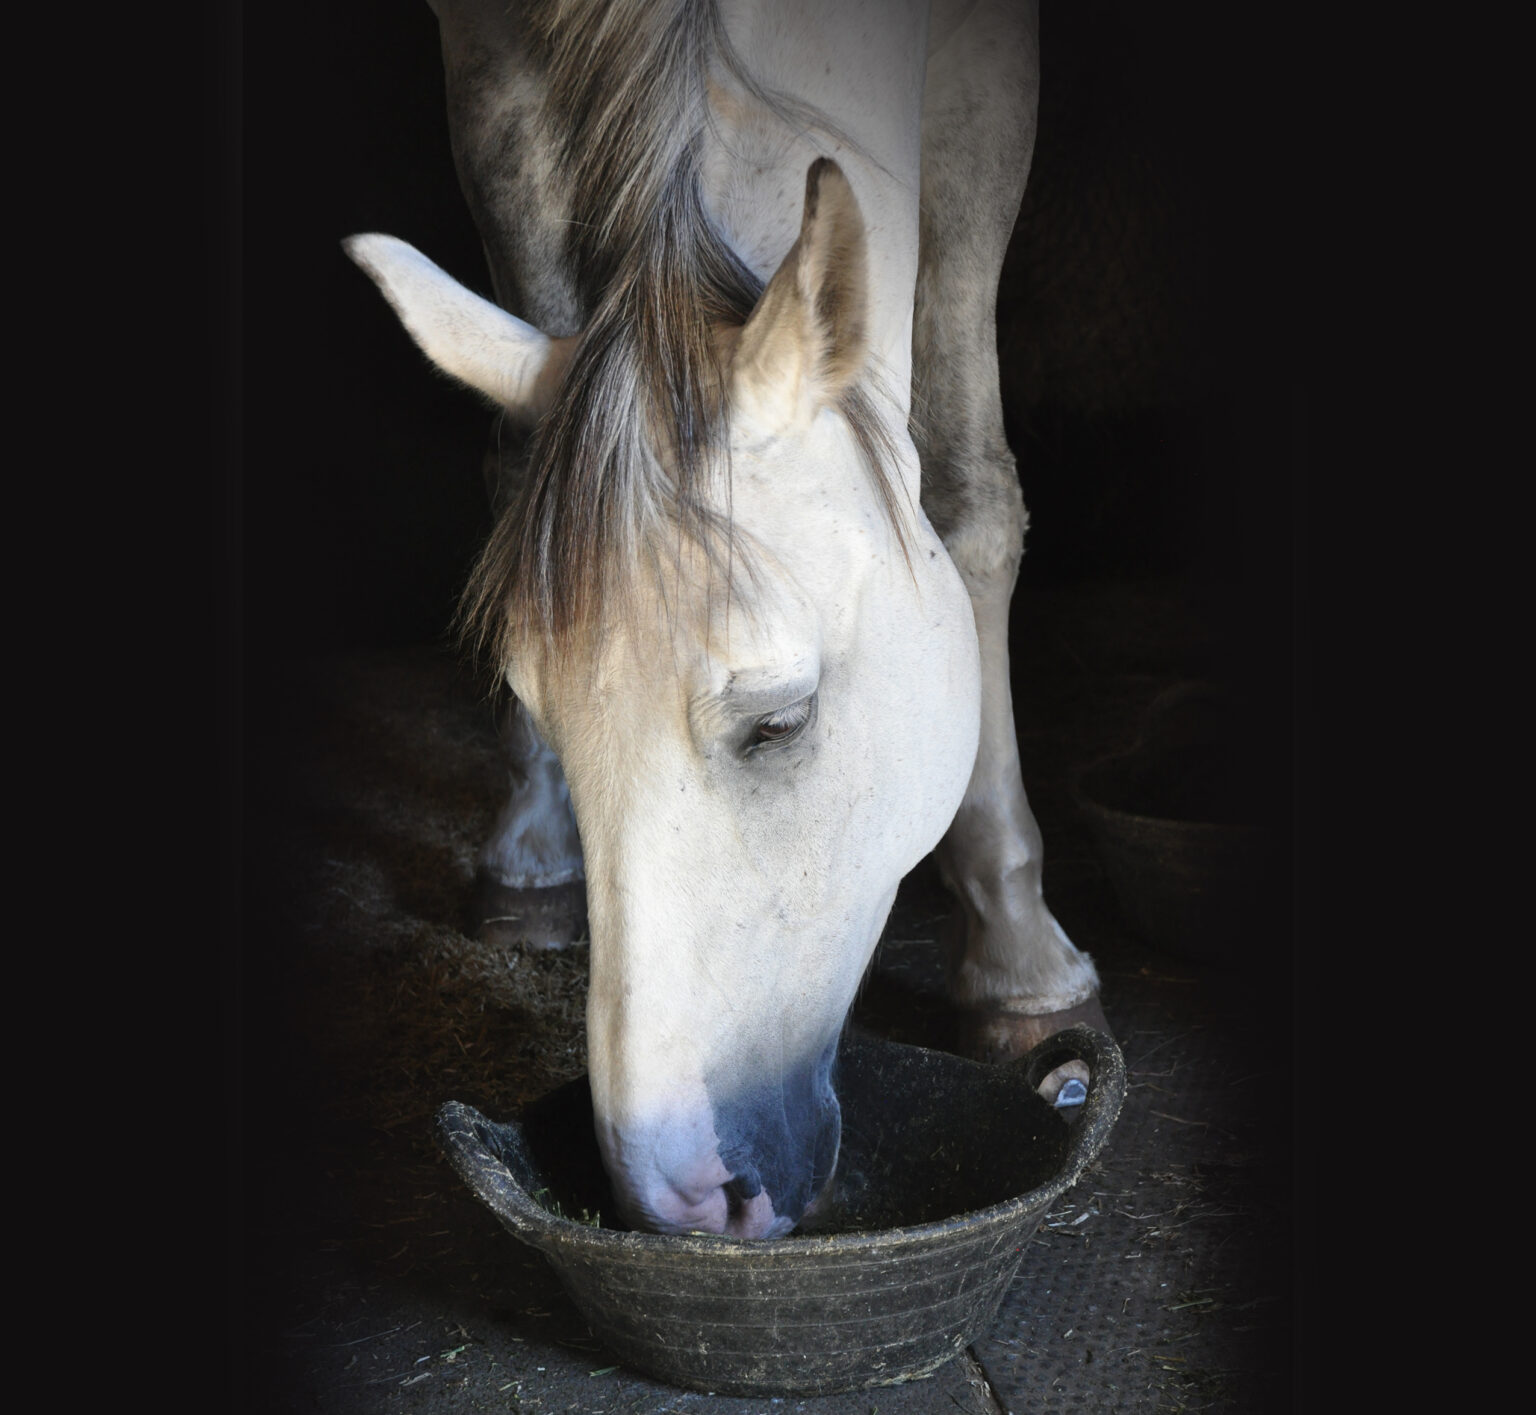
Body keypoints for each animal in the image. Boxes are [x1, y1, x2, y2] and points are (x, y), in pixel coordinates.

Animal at [346, 0, 1104, 1240]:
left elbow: (968, 494)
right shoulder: (490, 57)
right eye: (535, 703)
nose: (691, 1196)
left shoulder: (987, 70)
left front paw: (1021, 958)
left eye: (778, 724)